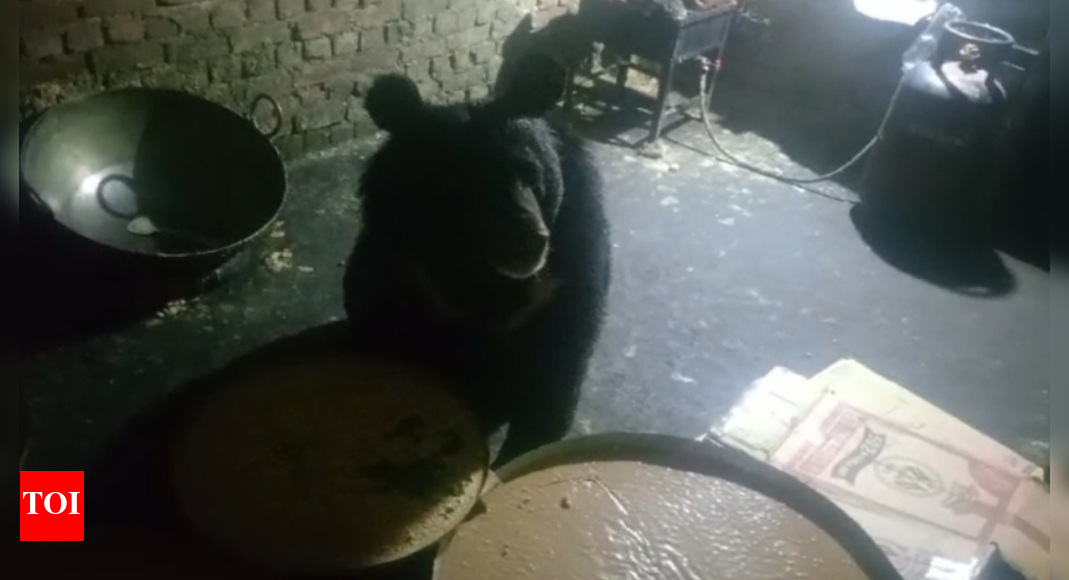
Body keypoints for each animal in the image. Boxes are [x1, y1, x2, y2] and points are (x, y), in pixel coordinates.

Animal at [344, 55, 612, 466]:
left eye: (529, 172)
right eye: (462, 186)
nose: (528, 240)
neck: (482, 270)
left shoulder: (570, 277)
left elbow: (553, 390)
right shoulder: (399, 268)